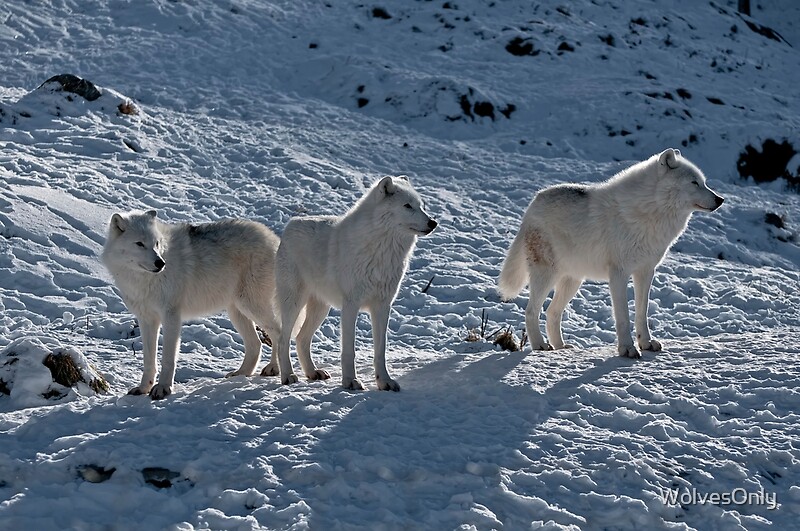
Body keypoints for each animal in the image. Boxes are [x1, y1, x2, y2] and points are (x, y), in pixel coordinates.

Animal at [102, 210, 285, 399]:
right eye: (139, 244)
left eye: (156, 244)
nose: (161, 263)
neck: (144, 279)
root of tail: (274, 237)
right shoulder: (147, 320)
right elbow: (148, 360)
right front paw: (144, 388)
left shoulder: (171, 317)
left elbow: (168, 358)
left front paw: (163, 388)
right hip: (237, 312)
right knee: (256, 344)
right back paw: (241, 374)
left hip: (251, 306)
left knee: (278, 332)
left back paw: (274, 369)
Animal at [267, 176, 437, 391]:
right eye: (407, 206)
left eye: (421, 206)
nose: (433, 222)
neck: (381, 249)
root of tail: (291, 223)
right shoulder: (351, 305)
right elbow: (349, 351)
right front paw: (350, 381)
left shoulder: (382, 307)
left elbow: (380, 351)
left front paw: (384, 381)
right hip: (294, 303)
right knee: (283, 339)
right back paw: (288, 375)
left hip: (321, 309)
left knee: (301, 339)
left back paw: (313, 372)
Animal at [499, 148, 724, 358]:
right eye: (694, 183)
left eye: (704, 183)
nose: (720, 199)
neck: (651, 212)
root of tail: (534, 201)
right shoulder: (619, 274)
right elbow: (623, 317)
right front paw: (627, 349)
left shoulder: (646, 271)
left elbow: (642, 312)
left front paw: (646, 343)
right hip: (546, 275)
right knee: (531, 311)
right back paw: (540, 346)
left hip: (573, 281)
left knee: (552, 312)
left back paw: (561, 347)